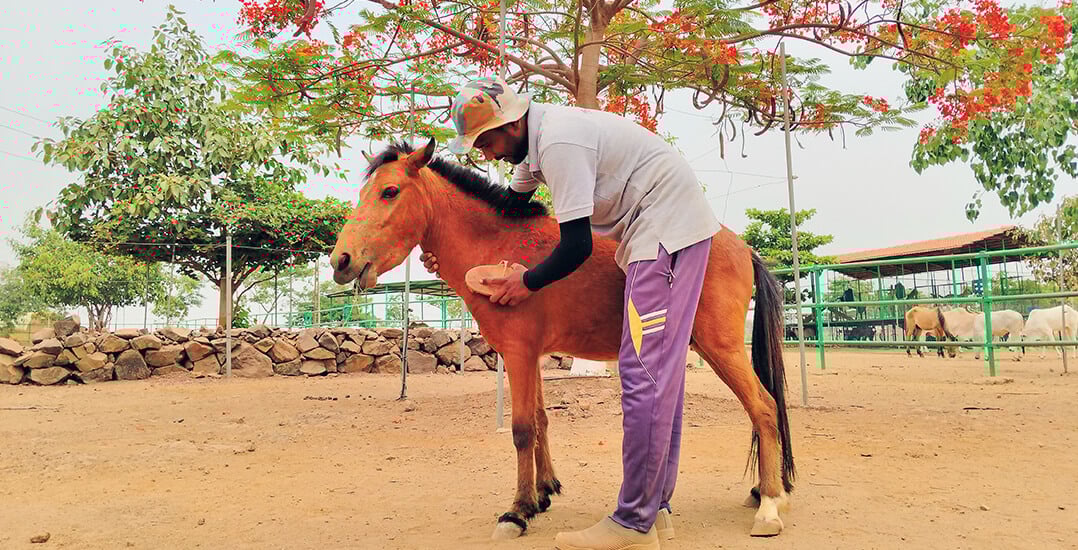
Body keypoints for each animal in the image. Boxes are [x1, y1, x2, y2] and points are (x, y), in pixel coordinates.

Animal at [328, 138, 795, 540]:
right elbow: (540, 421)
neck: (498, 246)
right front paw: (543, 492)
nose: (340, 260)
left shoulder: (517, 354)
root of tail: (743, 248)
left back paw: (770, 505)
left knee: (764, 408)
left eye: (389, 191)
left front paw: (517, 511)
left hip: (722, 349)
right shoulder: (531, 356)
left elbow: (520, 429)